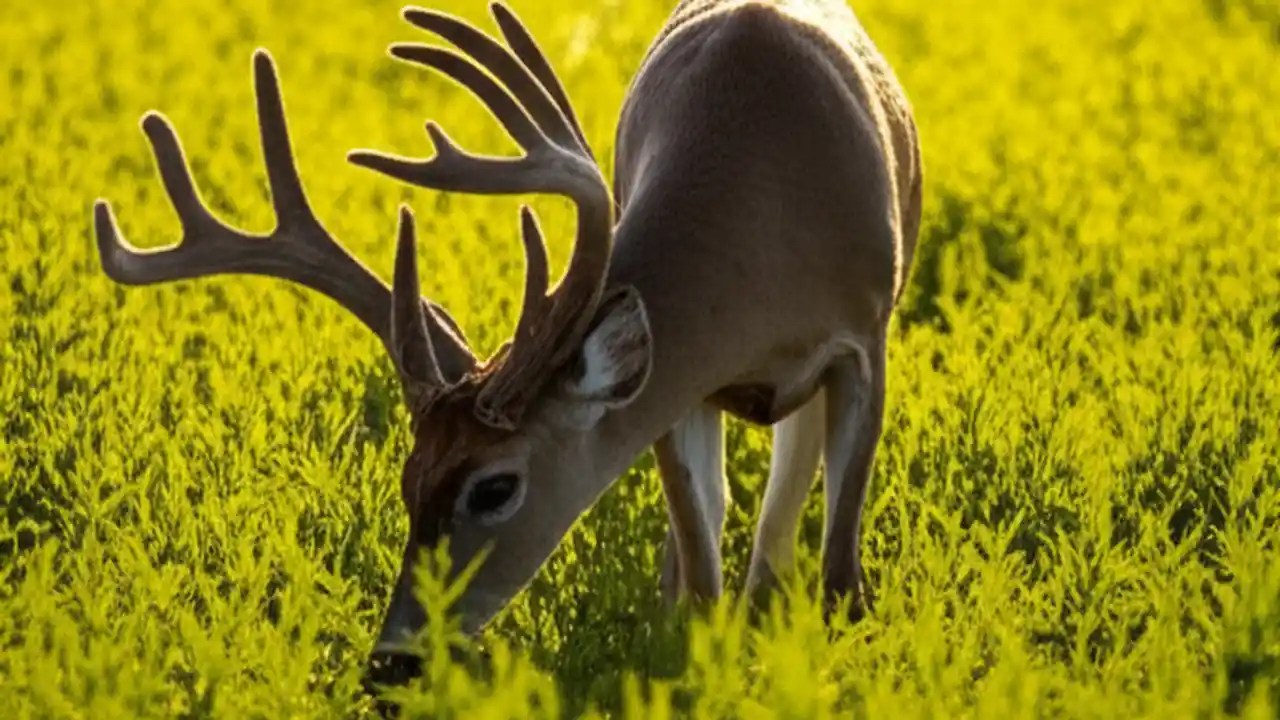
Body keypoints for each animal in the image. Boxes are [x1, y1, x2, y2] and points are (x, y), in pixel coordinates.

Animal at [93, 0, 921, 690]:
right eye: (408, 477)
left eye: (494, 487)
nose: (391, 661)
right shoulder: (681, 390)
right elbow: (698, 573)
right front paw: (698, 653)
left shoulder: (866, 336)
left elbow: (840, 573)